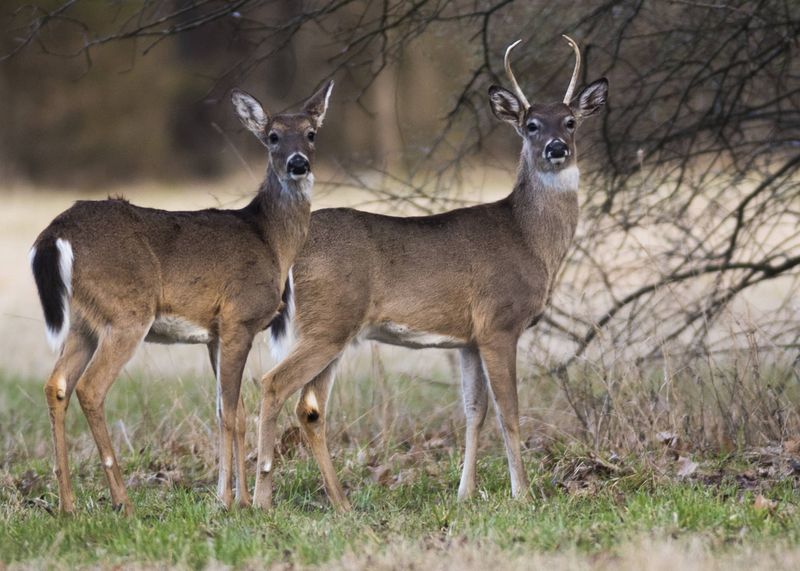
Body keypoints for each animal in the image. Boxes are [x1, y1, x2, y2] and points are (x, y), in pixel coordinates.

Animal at [29, 79, 334, 514]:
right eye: (273, 136)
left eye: (311, 134)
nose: (298, 164)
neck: (271, 241)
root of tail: (55, 232)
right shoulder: (240, 318)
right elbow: (232, 414)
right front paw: (235, 501)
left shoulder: (215, 333)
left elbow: (228, 410)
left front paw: (229, 497)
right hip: (127, 311)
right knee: (91, 387)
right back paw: (123, 502)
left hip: (85, 320)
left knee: (56, 384)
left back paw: (68, 505)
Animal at [249, 37, 607, 511]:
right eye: (531, 125)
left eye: (570, 122)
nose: (556, 148)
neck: (529, 238)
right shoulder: (499, 323)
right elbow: (509, 412)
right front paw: (524, 495)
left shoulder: (469, 339)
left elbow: (475, 411)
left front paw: (465, 493)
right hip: (329, 323)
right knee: (273, 384)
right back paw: (261, 499)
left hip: (330, 328)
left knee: (309, 407)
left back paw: (341, 503)